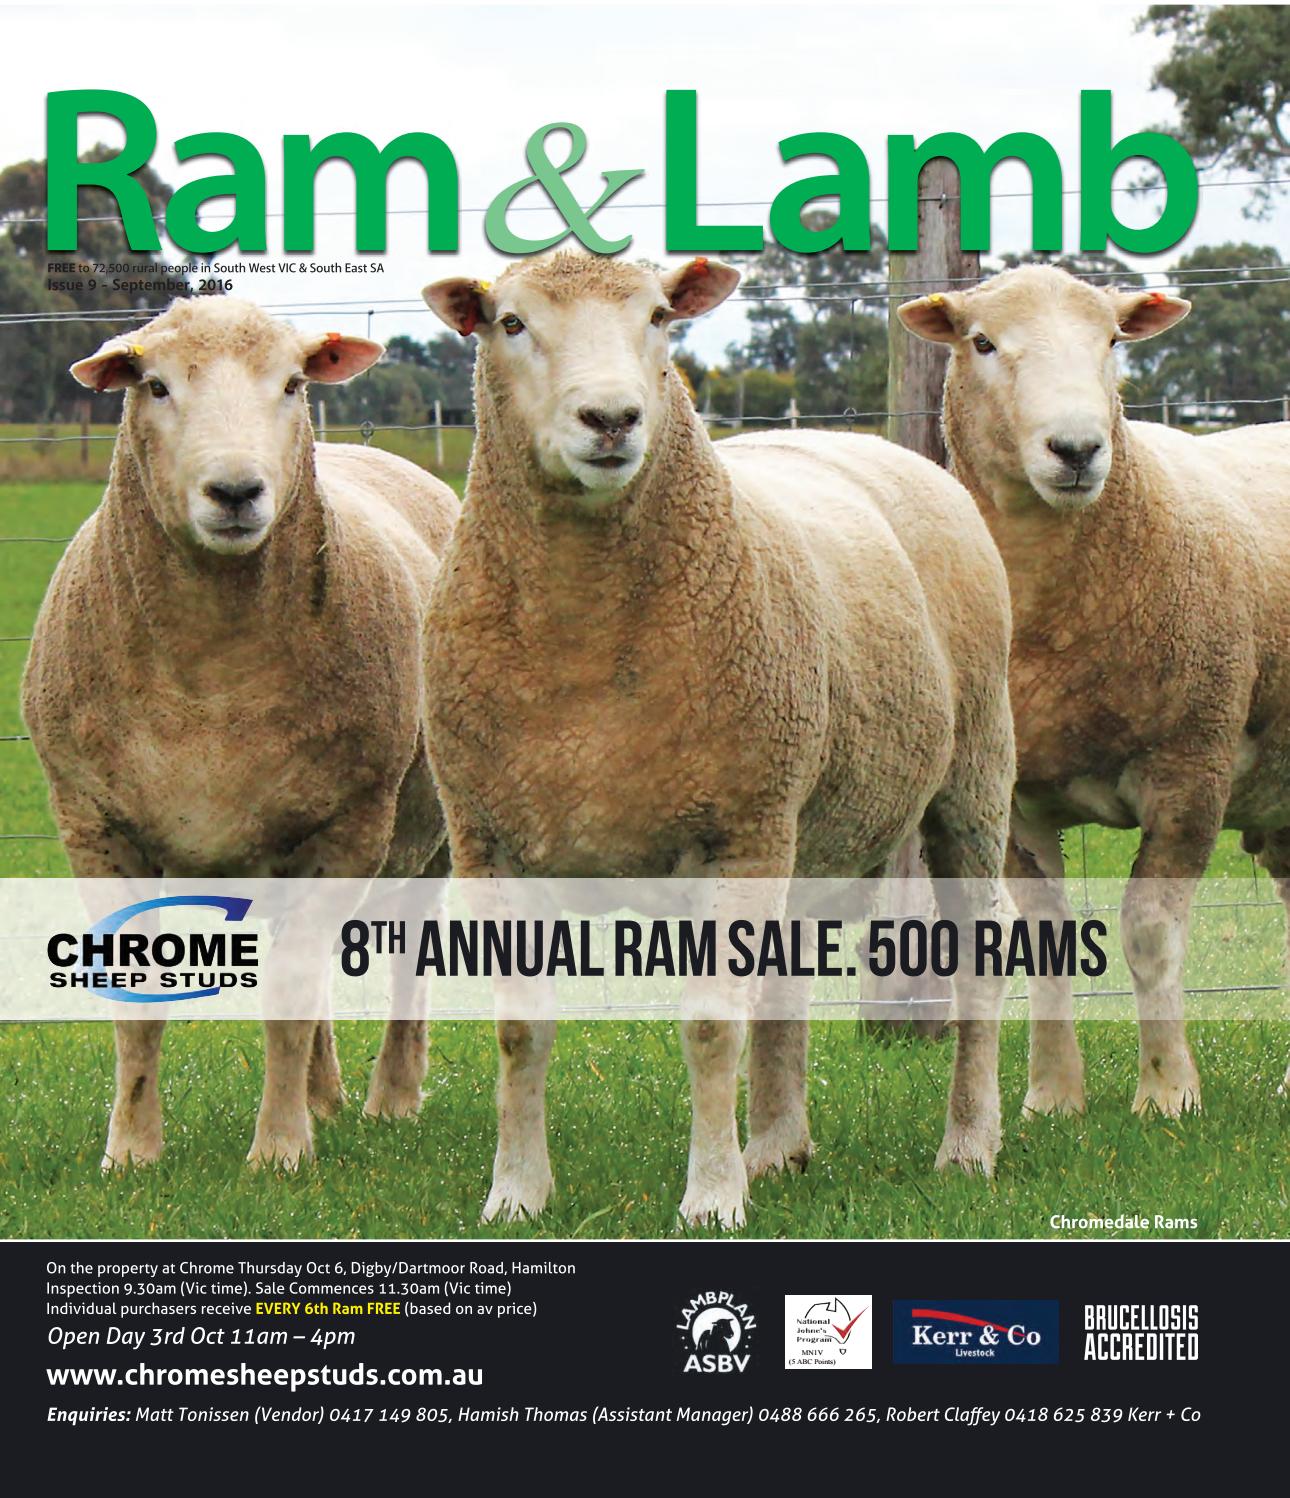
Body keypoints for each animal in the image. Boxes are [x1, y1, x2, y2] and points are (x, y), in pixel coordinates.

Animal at [22, 296, 458, 1169]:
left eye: (292, 383)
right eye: (154, 385)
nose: (234, 491)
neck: (211, 679)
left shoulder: (348, 824)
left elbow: (288, 993)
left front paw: (280, 1152)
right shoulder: (95, 825)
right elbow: (138, 1005)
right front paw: (132, 1152)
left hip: (432, 834)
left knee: (407, 961)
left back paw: (390, 1097)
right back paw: (323, 1096)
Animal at [422, 251, 1015, 1228]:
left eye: (660, 316)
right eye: (509, 322)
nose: (612, 418)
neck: (581, 642)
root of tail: (899, 451)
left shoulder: (737, 823)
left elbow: (708, 1023)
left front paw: (709, 1199)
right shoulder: (487, 836)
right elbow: (517, 1026)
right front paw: (516, 1194)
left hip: (970, 771)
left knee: (979, 952)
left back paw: (968, 1145)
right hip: (803, 821)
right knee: (786, 971)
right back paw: (776, 1147)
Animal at [898, 263, 1290, 1115]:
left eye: (1112, 340)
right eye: (982, 343)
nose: (1077, 449)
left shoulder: (1192, 767)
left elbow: (1149, 930)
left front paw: (1168, 1095)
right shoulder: (1013, 795)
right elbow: (1043, 939)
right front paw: (1052, 1098)